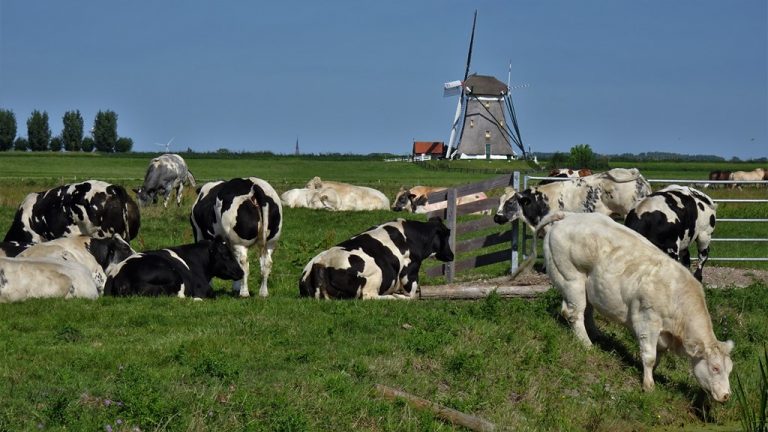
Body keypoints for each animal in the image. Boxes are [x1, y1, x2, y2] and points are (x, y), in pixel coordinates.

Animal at [299, 217, 454, 300]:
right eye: (447, 236)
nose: (451, 255)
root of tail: (320, 263)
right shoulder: (410, 270)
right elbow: (411, 292)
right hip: (375, 274)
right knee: (370, 297)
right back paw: (393, 297)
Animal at [538, 211, 734, 402]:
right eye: (715, 368)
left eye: (730, 370)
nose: (726, 395)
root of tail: (569, 215)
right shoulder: (647, 321)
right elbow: (649, 356)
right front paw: (648, 385)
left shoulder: (664, 336)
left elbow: (657, 358)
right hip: (571, 279)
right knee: (574, 313)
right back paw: (587, 344)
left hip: (588, 286)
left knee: (586, 311)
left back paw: (597, 334)